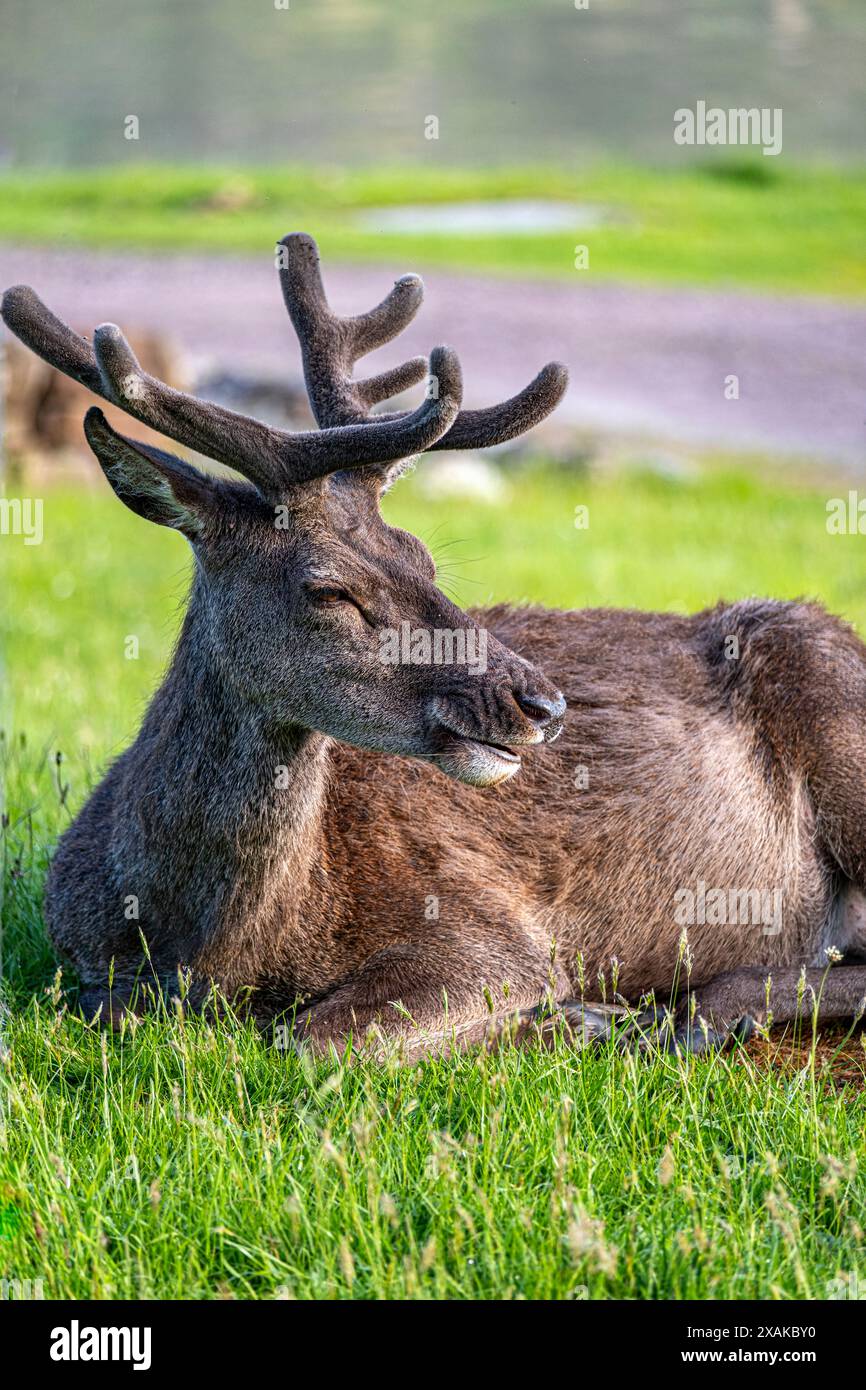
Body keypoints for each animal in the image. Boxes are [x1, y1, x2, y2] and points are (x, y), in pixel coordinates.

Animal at [4, 232, 866, 1060]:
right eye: (331, 589)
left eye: (423, 558)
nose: (543, 703)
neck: (206, 944)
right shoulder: (81, 964)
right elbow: (117, 1012)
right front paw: (576, 1019)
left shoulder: (489, 927)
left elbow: (316, 1038)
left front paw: (578, 1017)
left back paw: (679, 1017)